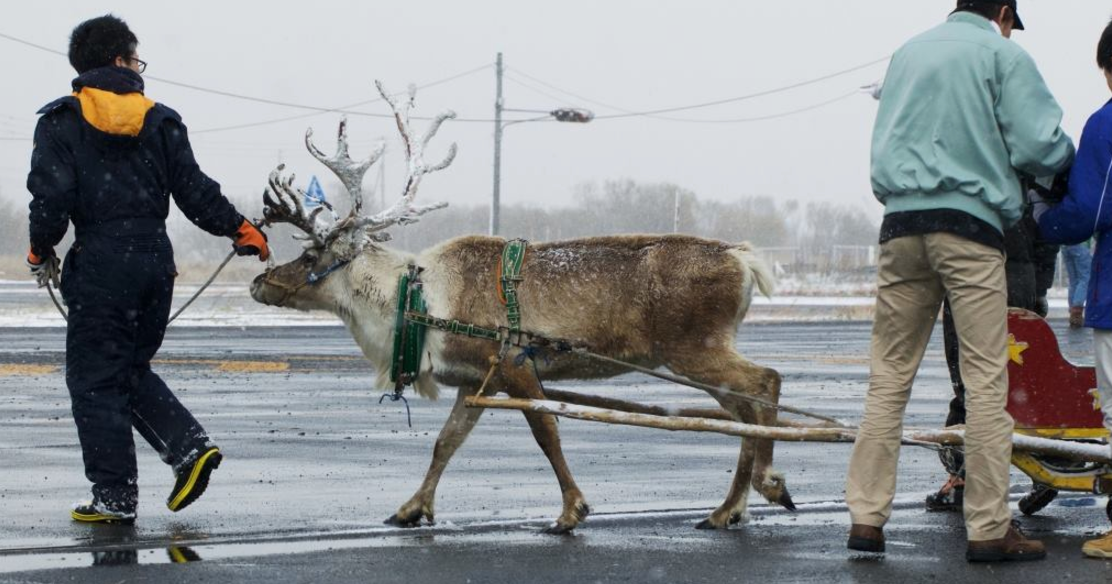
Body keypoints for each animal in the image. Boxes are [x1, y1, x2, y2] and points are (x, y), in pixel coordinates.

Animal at [250, 81, 791, 534]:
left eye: (310, 254)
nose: (259, 281)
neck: (418, 298)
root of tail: (743, 258)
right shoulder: (475, 380)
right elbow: (446, 441)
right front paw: (411, 508)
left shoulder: (513, 363)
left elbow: (546, 430)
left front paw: (571, 511)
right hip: (694, 357)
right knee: (742, 410)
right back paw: (728, 509)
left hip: (693, 348)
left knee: (765, 382)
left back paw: (765, 484)